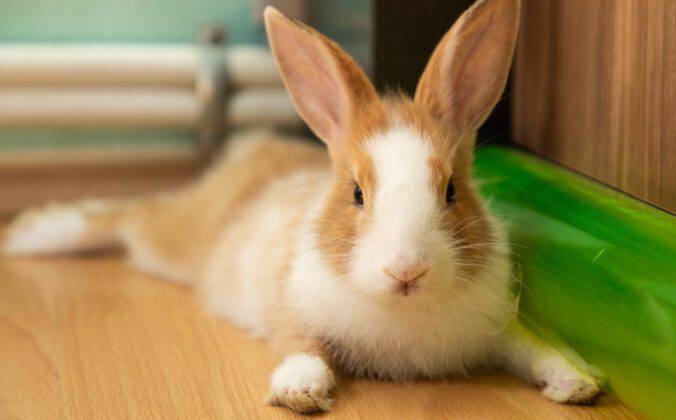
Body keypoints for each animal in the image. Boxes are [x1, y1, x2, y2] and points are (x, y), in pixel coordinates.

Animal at [2, 0, 601, 414]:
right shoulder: (293, 306)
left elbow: (530, 347)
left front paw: (577, 384)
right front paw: (298, 390)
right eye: (357, 193)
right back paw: (31, 234)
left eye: (451, 191)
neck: (402, 311)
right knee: (127, 215)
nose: (406, 272)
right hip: (173, 240)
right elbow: (300, 344)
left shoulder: (497, 327)